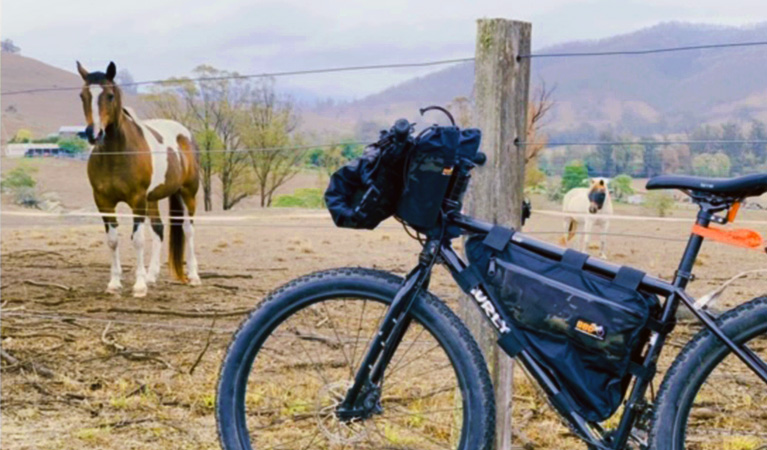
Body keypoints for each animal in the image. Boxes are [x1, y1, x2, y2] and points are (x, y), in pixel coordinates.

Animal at [78, 61, 201, 298]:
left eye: (109, 95)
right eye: (82, 95)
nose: (94, 134)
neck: (118, 154)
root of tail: (185, 135)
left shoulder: (137, 200)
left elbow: (137, 240)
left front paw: (139, 285)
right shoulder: (104, 202)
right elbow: (113, 240)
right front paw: (114, 283)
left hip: (187, 193)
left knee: (189, 230)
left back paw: (193, 276)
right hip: (152, 199)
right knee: (159, 229)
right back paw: (152, 275)